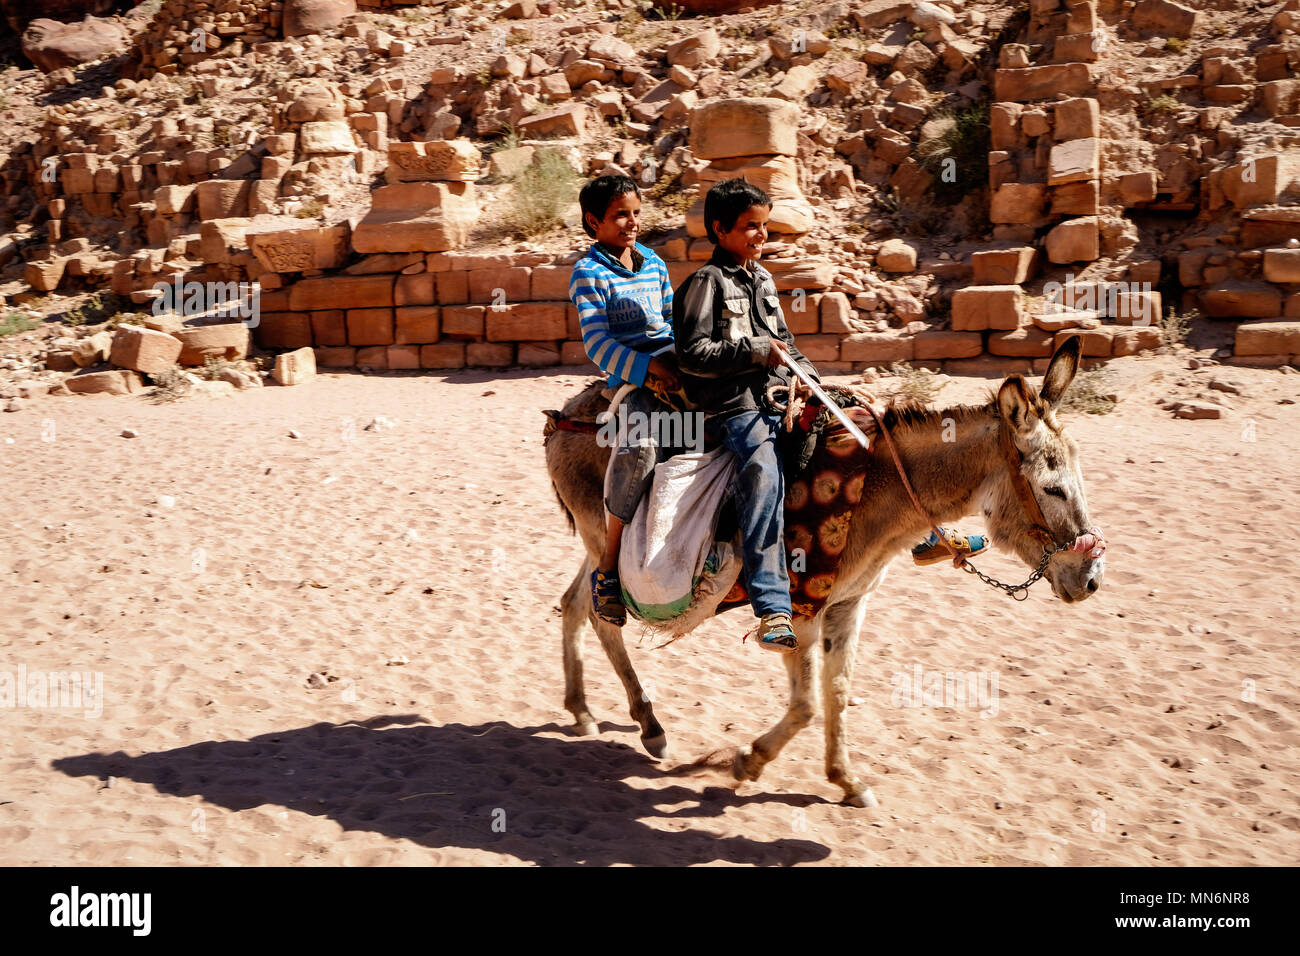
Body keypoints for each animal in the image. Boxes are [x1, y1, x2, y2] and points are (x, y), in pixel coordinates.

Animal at [543, 336, 1105, 807]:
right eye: (1053, 488)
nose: (1091, 578)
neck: (875, 487)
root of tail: (564, 416)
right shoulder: (802, 608)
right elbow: (808, 704)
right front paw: (748, 762)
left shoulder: (848, 605)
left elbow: (837, 693)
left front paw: (847, 780)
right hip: (604, 538)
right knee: (602, 619)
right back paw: (649, 724)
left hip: (601, 551)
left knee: (575, 604)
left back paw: (585, 711)